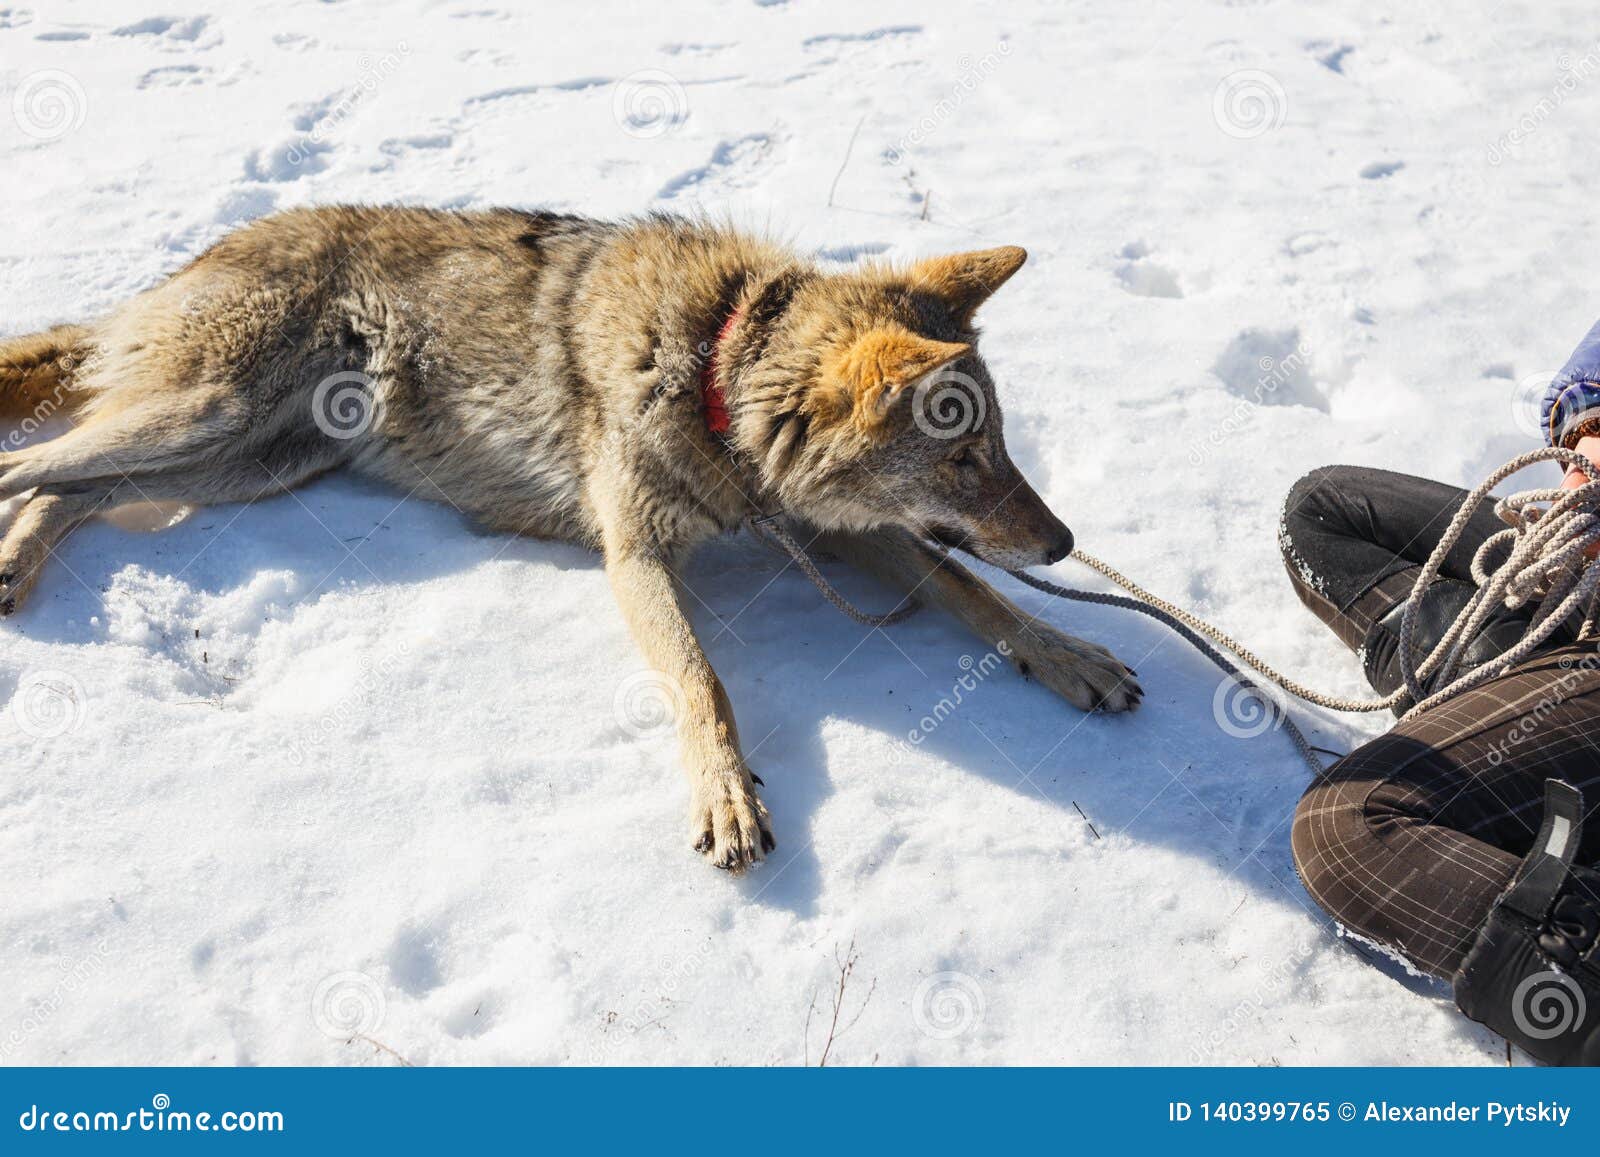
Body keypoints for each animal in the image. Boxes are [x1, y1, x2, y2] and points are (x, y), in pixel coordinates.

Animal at [0, 207, 1140, 870]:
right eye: (965, 456)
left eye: (1001, 444)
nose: (1062, 540)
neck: (713, 367)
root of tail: (175, 271)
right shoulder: (634, 556)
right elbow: (704, 683)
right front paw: (727, 797)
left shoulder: (832, 531)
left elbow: (973, 592)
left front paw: (1074, 653)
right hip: (207, 418)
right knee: (37, 466)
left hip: (250, 460)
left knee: (69, 488)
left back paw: (18, 561)